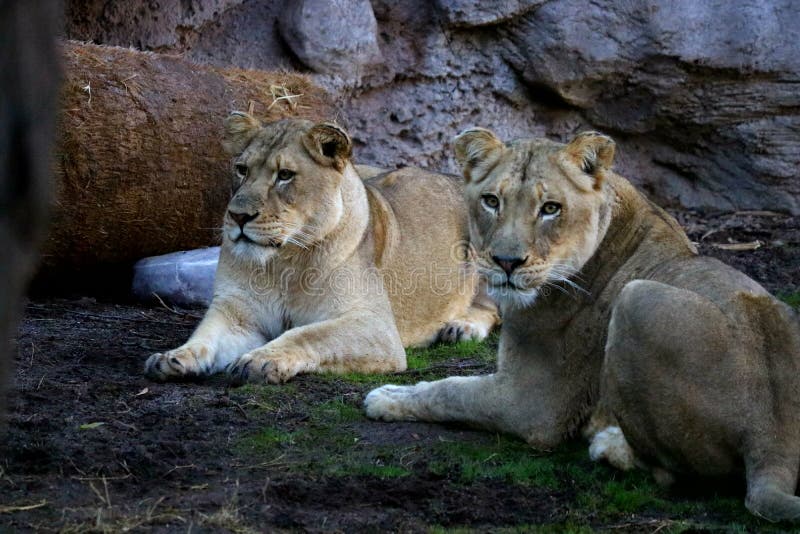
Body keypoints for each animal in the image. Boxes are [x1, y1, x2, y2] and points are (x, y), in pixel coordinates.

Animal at [145, 114, 498, 384]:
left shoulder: (375, 326)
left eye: (285, 175)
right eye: (242, 169)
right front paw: (173, 358)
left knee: (493, 309)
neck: (283, 262)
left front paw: (259, 360)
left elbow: (306, 334)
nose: (238, 216)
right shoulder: (237, 310)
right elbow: (204, 337)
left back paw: (460, 328)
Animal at [365, 128, 800, 522]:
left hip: (635, 300)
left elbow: (450, 391)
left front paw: (387, 398)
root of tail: (772, 437)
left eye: (550, 208)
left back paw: (608, 445)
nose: (507, 262)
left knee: (673, 473)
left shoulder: (533, 404)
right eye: (491, 201)